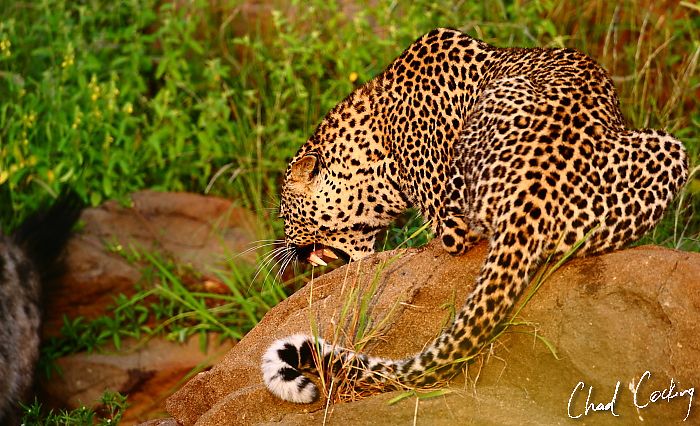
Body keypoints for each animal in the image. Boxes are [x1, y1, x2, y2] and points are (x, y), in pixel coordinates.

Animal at [260, 28, 689, 404]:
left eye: (284, 212)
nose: (285, 246)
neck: (374, 146)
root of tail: (534, 188)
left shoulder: (443, 213)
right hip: (672, 148)